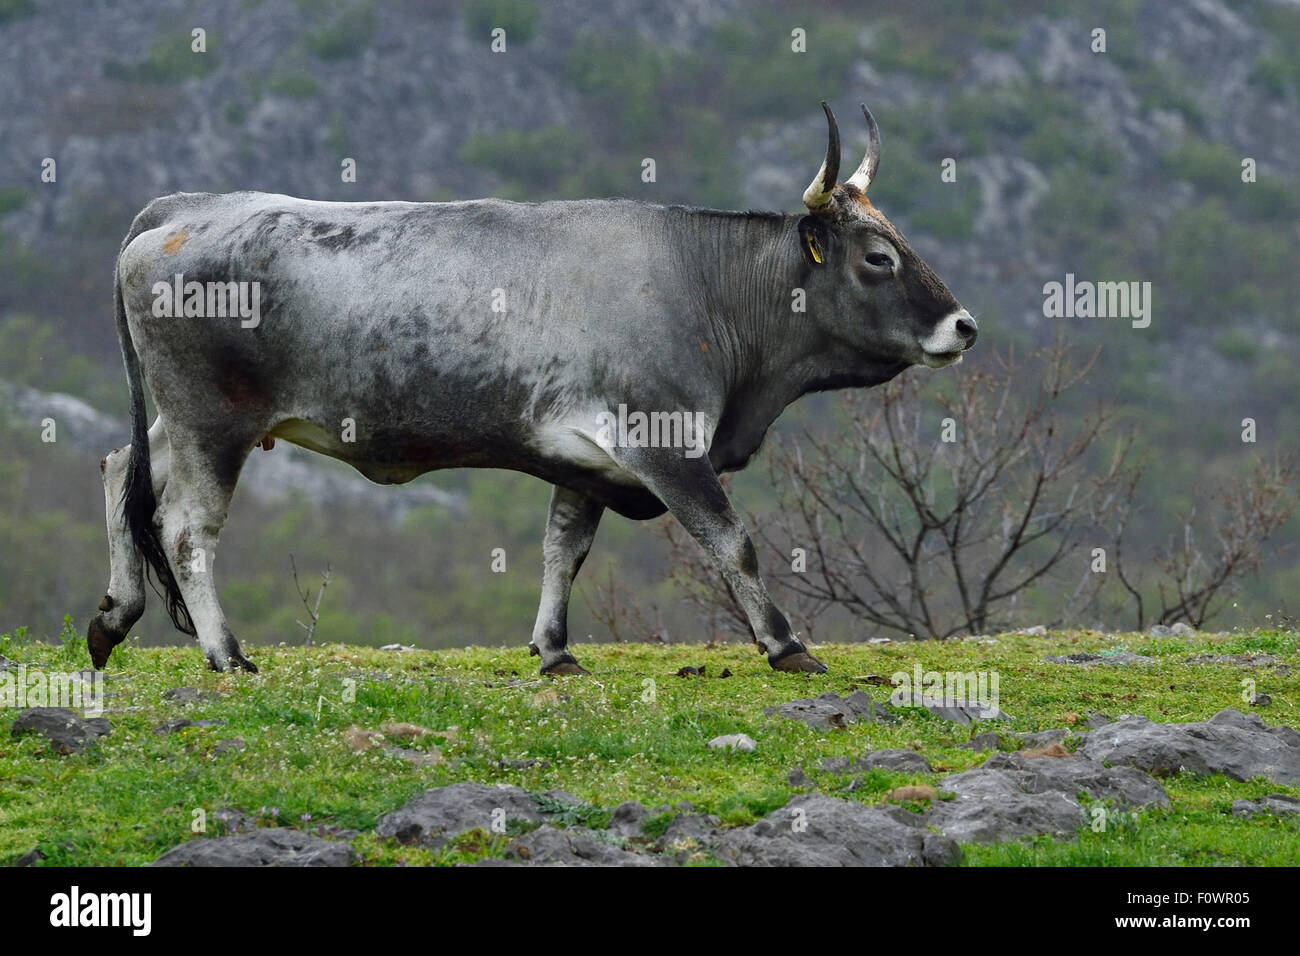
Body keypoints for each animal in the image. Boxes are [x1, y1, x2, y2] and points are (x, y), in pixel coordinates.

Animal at [87, 101, 976, 675]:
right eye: (877, 258)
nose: (963, 325)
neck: (702, 287)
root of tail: (183, 207)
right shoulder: (664, 445)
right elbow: (733, 542)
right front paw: (787, 645)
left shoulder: (583, 460)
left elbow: (562, 550)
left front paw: (552, 650)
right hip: (212, 420)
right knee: (185, 528)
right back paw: (224, 653)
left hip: (179, 419)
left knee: (119, 467)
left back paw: (113, 618)